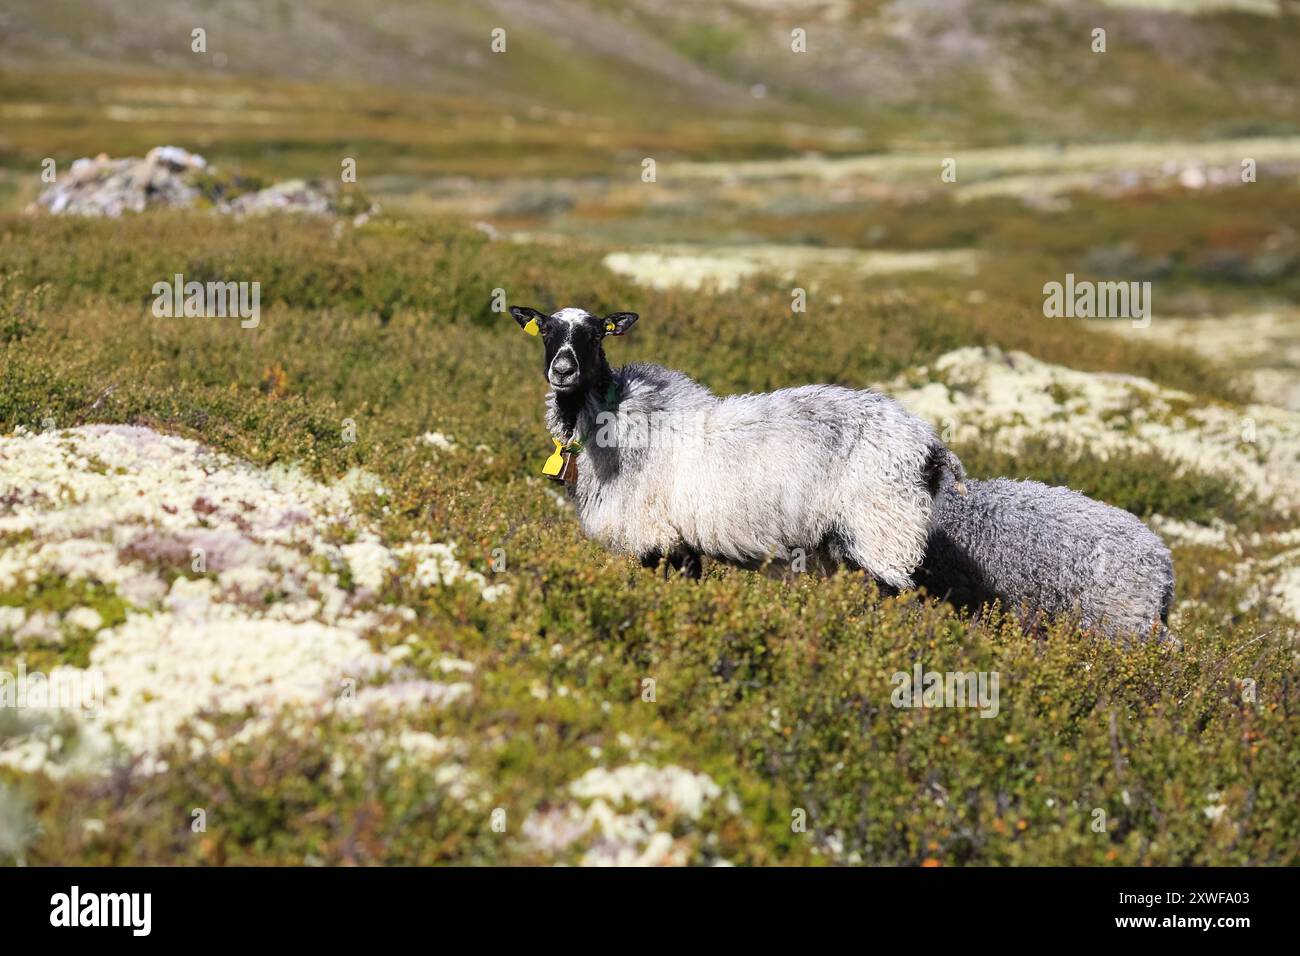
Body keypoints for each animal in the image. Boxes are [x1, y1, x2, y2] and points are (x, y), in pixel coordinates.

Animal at [509, 305, 966, 589]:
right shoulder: (680, 540)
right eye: (546, 331)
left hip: (882, 530)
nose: (563, 371)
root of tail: (930, 445)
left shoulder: (653, 533)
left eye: (594, 335)